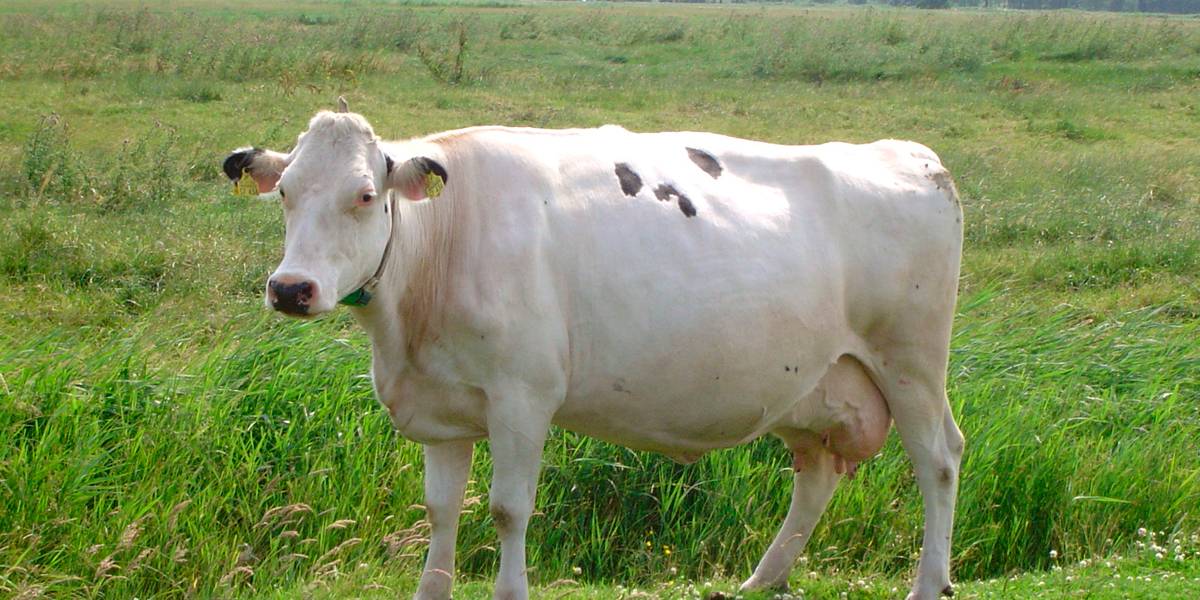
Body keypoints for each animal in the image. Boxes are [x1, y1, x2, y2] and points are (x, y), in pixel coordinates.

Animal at [222, 102, 964, 600]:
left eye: (365, 195)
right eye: (285, 192)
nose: (291, 288)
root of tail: (911, 155)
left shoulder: (522, 397)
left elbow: (507, 509)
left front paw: (510, 591)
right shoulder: (441, 407)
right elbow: (440, 511)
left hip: (911, 361)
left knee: (939, 460)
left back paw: (929, 582)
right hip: (818, 385)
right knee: (816, 475)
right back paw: (762, 579)